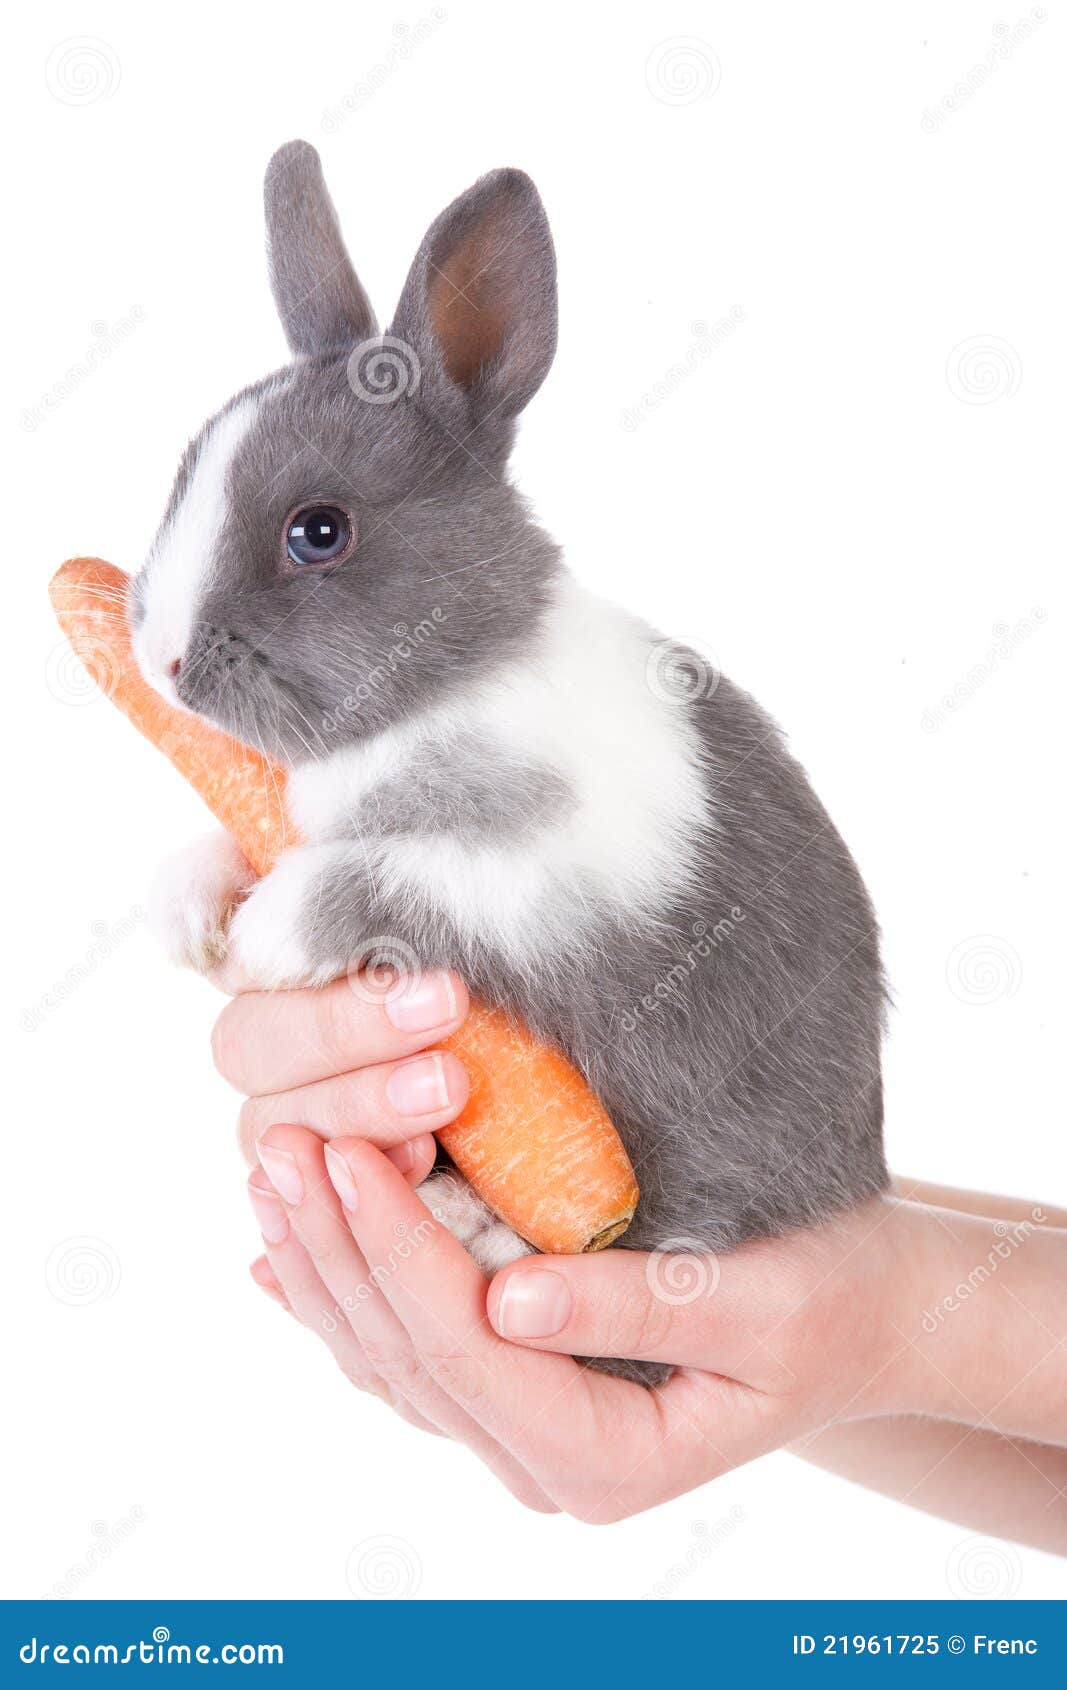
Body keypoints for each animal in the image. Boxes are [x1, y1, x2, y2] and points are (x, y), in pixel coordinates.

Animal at [135, 142, 888, 1386]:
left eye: (318, 532)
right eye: (180, 474)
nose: (160, 661)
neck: (440, 687)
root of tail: (856, 1184)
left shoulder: (552, 880)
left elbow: (387, 871)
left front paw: (269, 935)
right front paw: (184, 913)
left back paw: (475, 1228)